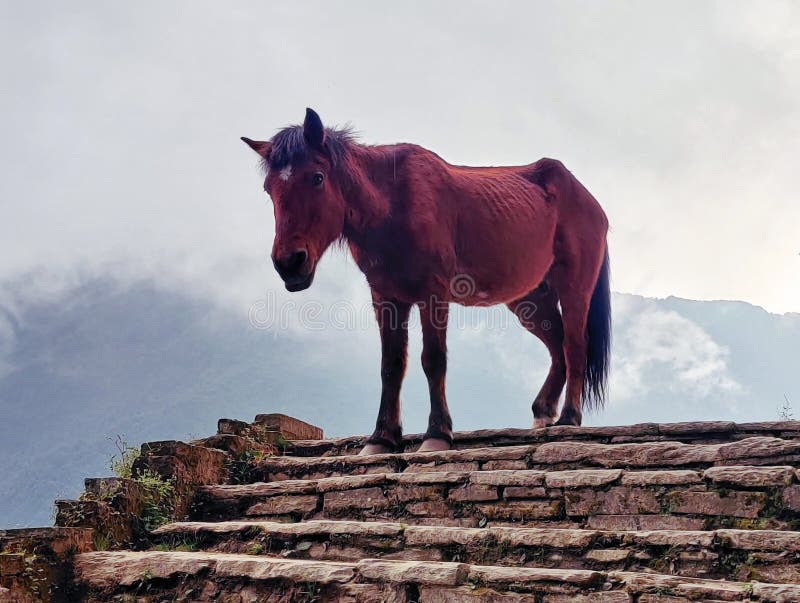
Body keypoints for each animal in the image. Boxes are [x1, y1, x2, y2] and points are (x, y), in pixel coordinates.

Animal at [242, 108, 611, 455]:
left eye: (317, 177)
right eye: (269, 189)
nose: (289, 264)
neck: (394, 203)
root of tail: (589, 200)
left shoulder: (433, 293)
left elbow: (433, 359)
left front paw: (437, 434)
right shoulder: (386, 297)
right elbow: (391, 365)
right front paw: (381, 438)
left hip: (575, 288)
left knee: (574, 344)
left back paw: (569, 418)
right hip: (530, 300)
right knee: (557, 347)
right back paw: (543, 411)